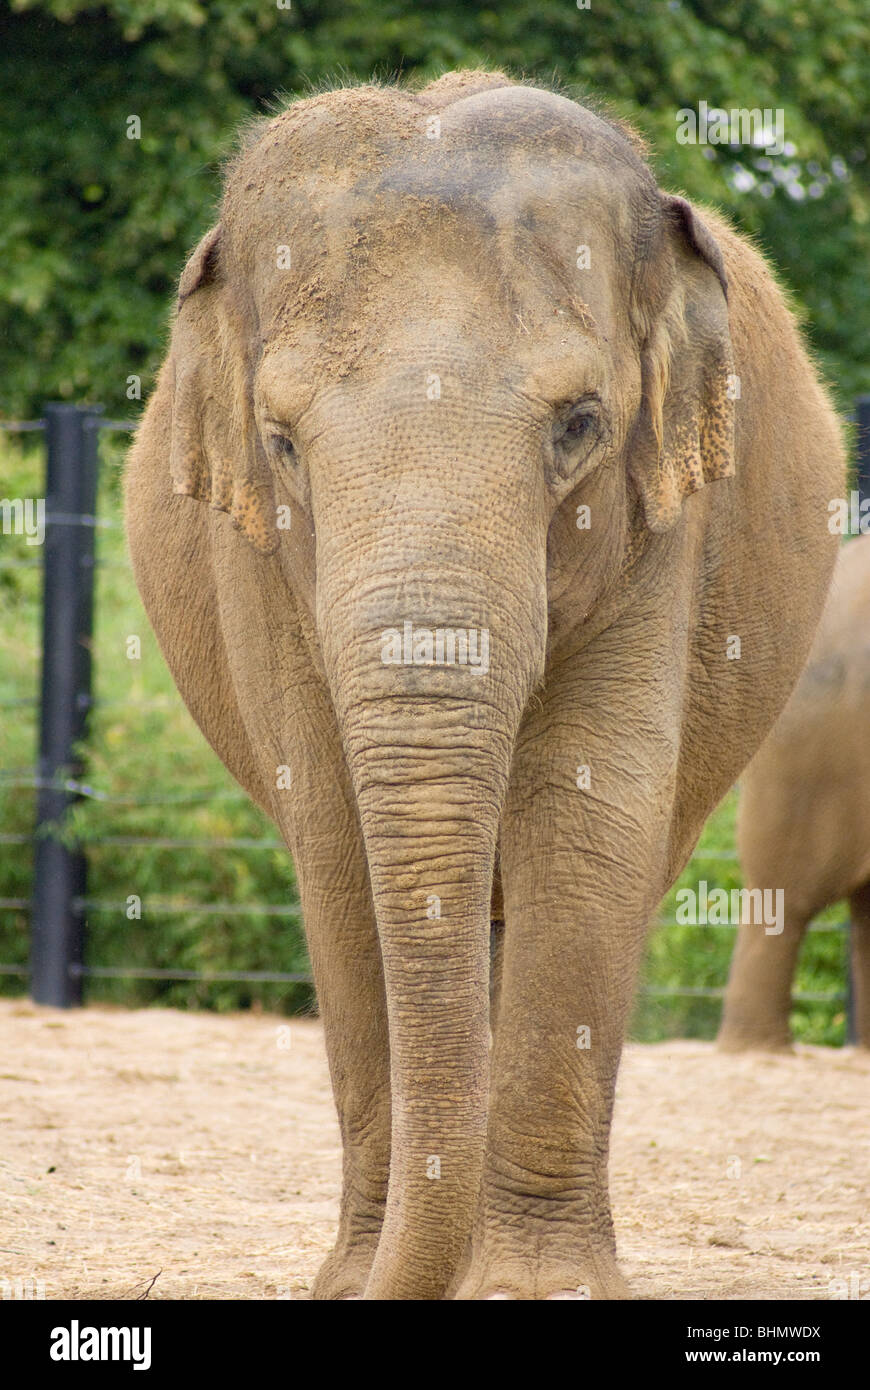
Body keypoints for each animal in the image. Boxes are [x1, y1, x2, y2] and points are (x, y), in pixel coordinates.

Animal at [124, 70, 844, 1299]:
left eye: (582, 424)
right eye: (280, 443)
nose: (378, 1287)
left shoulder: (661, 531)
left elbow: (590, 826)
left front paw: (532, 1288)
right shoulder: (253, 564)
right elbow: (334, 839)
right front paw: (354, 1279)